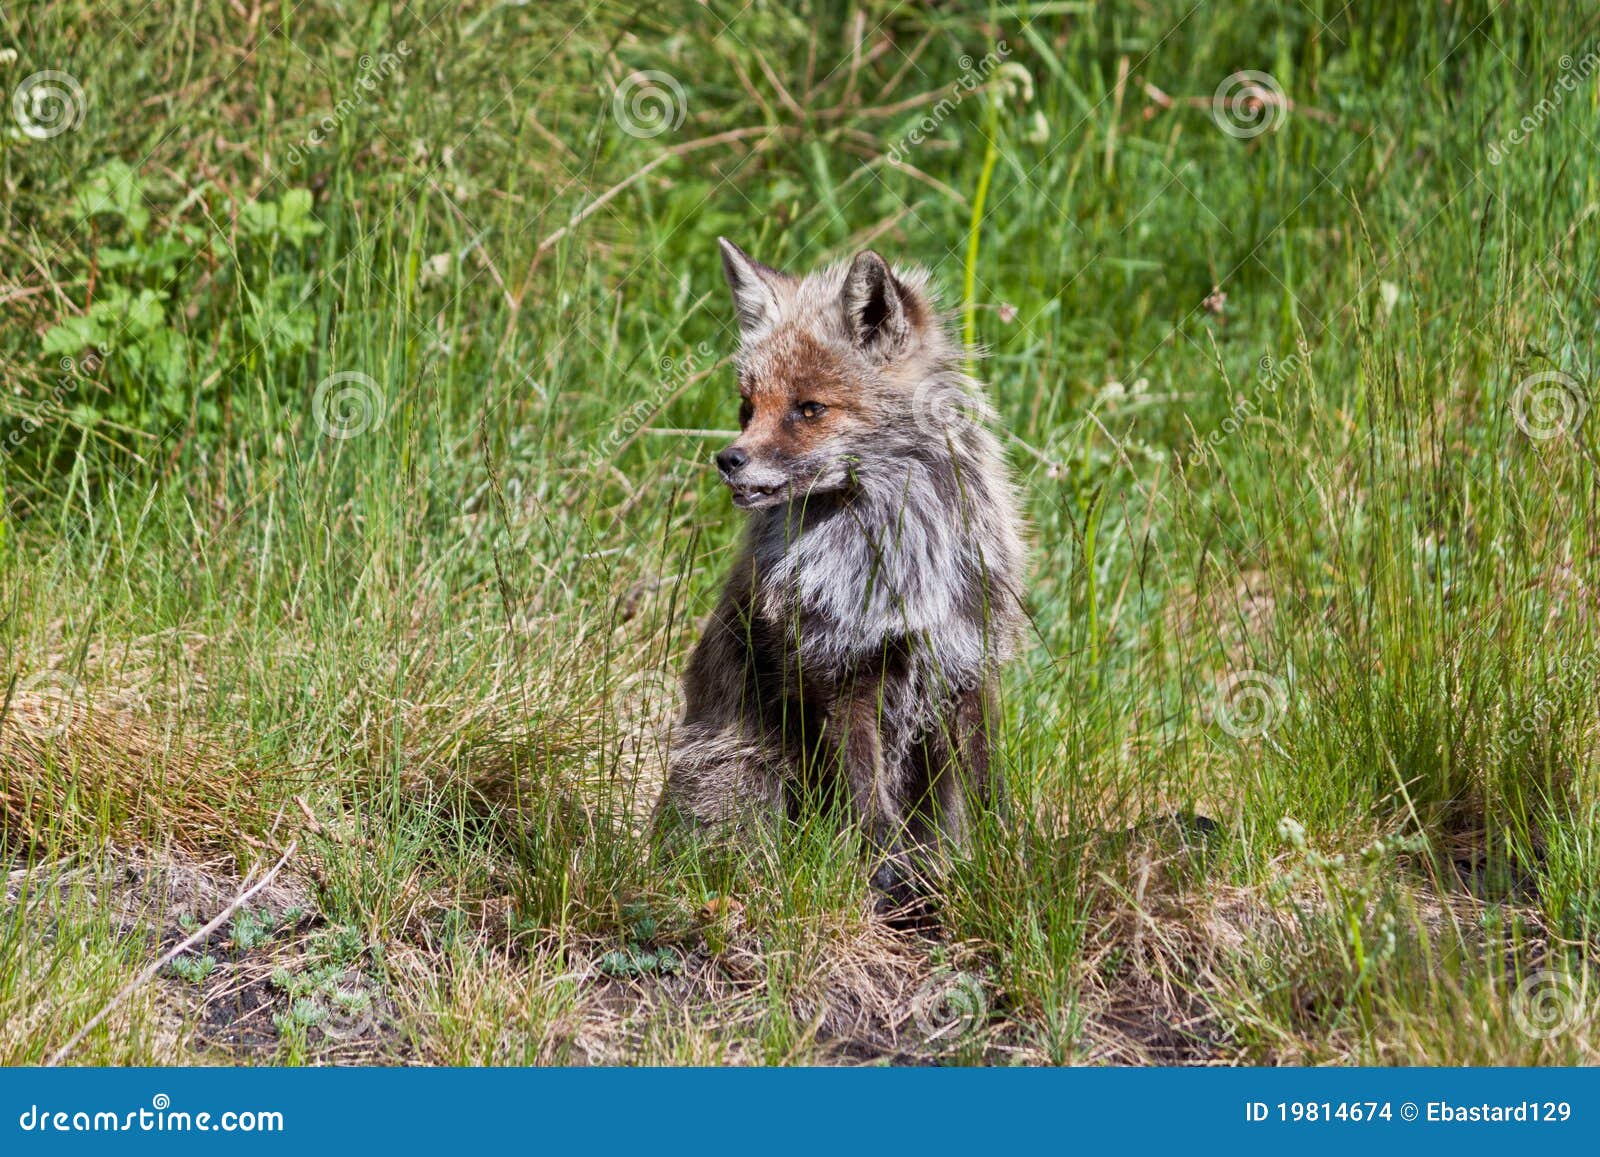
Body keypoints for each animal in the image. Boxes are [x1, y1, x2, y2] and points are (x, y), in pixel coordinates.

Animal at [654, 239, 1026, 914]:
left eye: (809, 409)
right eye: (747, 408)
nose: (728, 460)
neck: (894, 564)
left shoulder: (966, 667)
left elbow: (986, 798)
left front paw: (1000, 865)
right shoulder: (841, 675)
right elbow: (868, 807)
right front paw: (885, 880)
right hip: (746, 770)